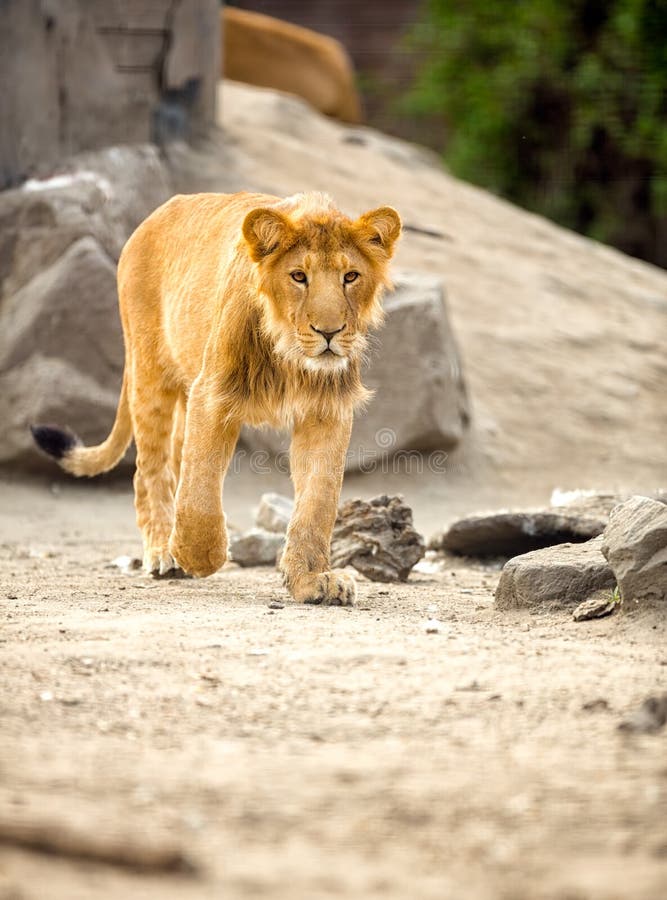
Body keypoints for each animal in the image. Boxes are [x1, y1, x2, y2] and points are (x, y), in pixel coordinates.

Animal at [31, 191, 401, 605]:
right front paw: (199, 555)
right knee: (151, 471)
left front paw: (313, 580)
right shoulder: (212, 395)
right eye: (298, 276)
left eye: (350, 276)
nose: (329, 332)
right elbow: (199, 495)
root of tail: (151, 219)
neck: (288, 355)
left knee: (176, 461)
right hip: (150, 373)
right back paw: (163, 552)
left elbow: (317, 504)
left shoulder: (326, 412)